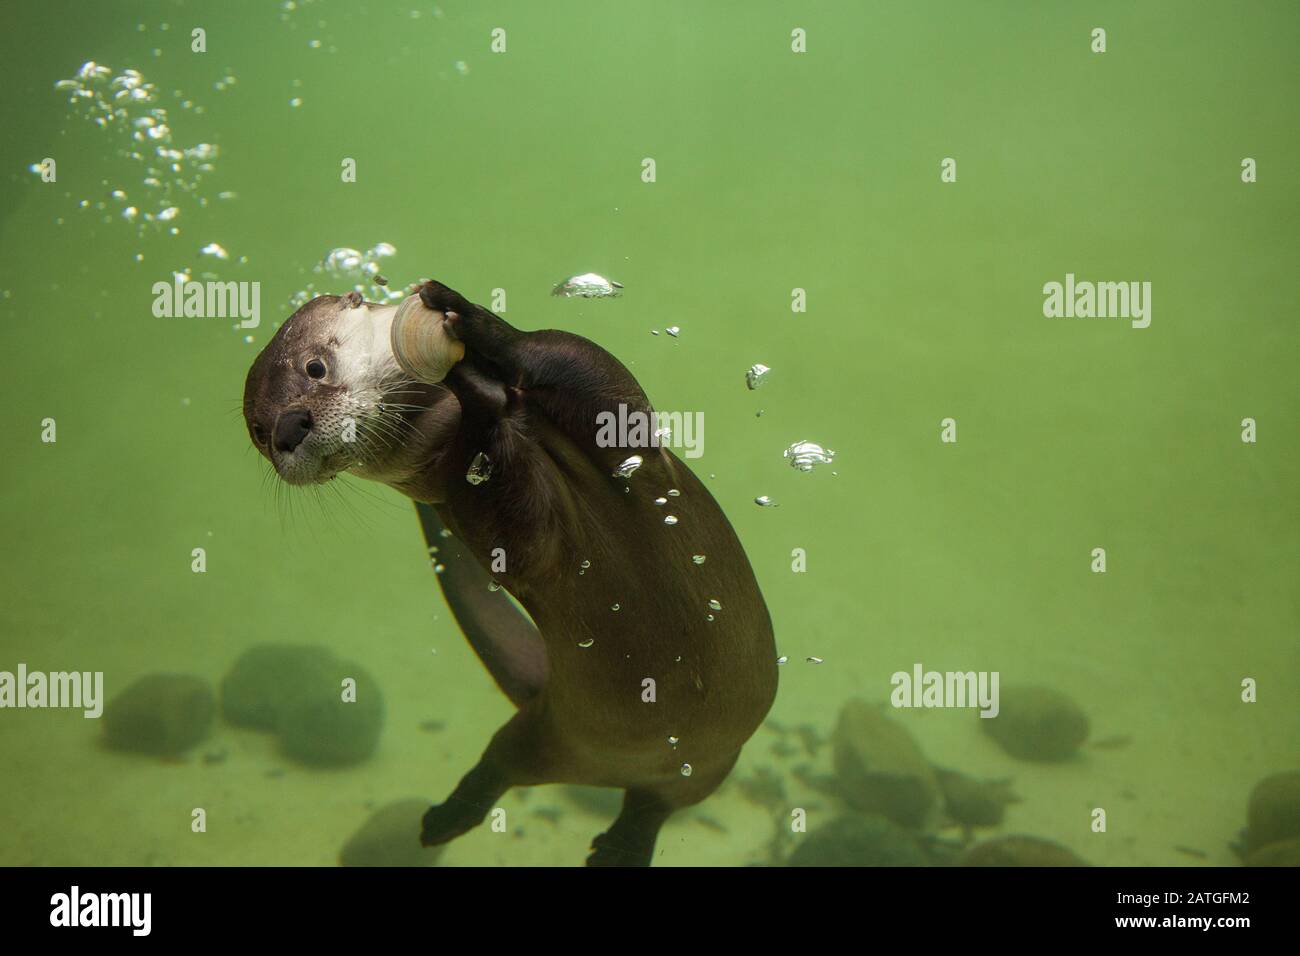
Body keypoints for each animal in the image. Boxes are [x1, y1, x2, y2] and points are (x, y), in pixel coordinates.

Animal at [243, 280, 778, 865]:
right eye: (259, 431)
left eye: (314, 368)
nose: (288, 428)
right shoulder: (458, 500)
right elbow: (519, 543)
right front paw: (475, 395)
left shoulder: (627, 439)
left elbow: (588, 373)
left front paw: (469, 329)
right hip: (545, 737)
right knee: (505, 763)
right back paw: (447, 821)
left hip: (703, 772)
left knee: (653, 806)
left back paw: (618, 848)